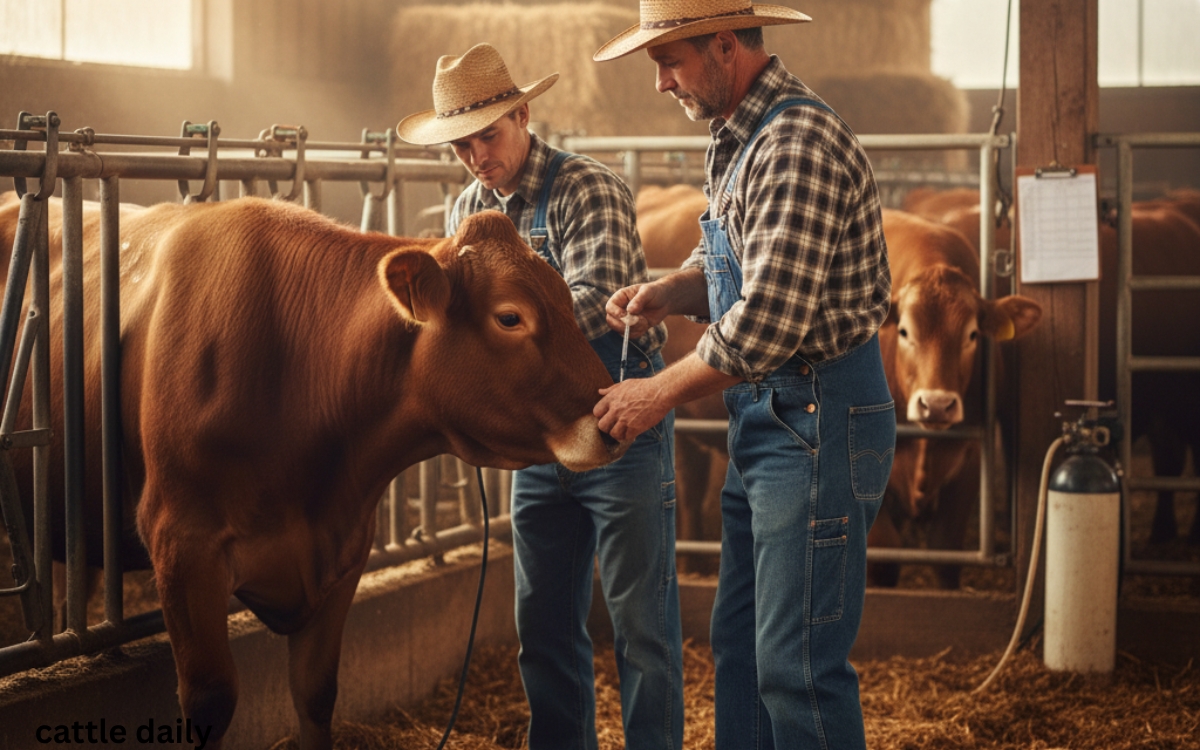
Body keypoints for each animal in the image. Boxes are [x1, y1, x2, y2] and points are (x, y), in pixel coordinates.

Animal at [0, 191, 626, 750]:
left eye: (569, 300)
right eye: (510, 317)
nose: (611, 422)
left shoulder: (344, 550)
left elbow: (316, 694)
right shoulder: (181, 543)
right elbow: (211, 701)